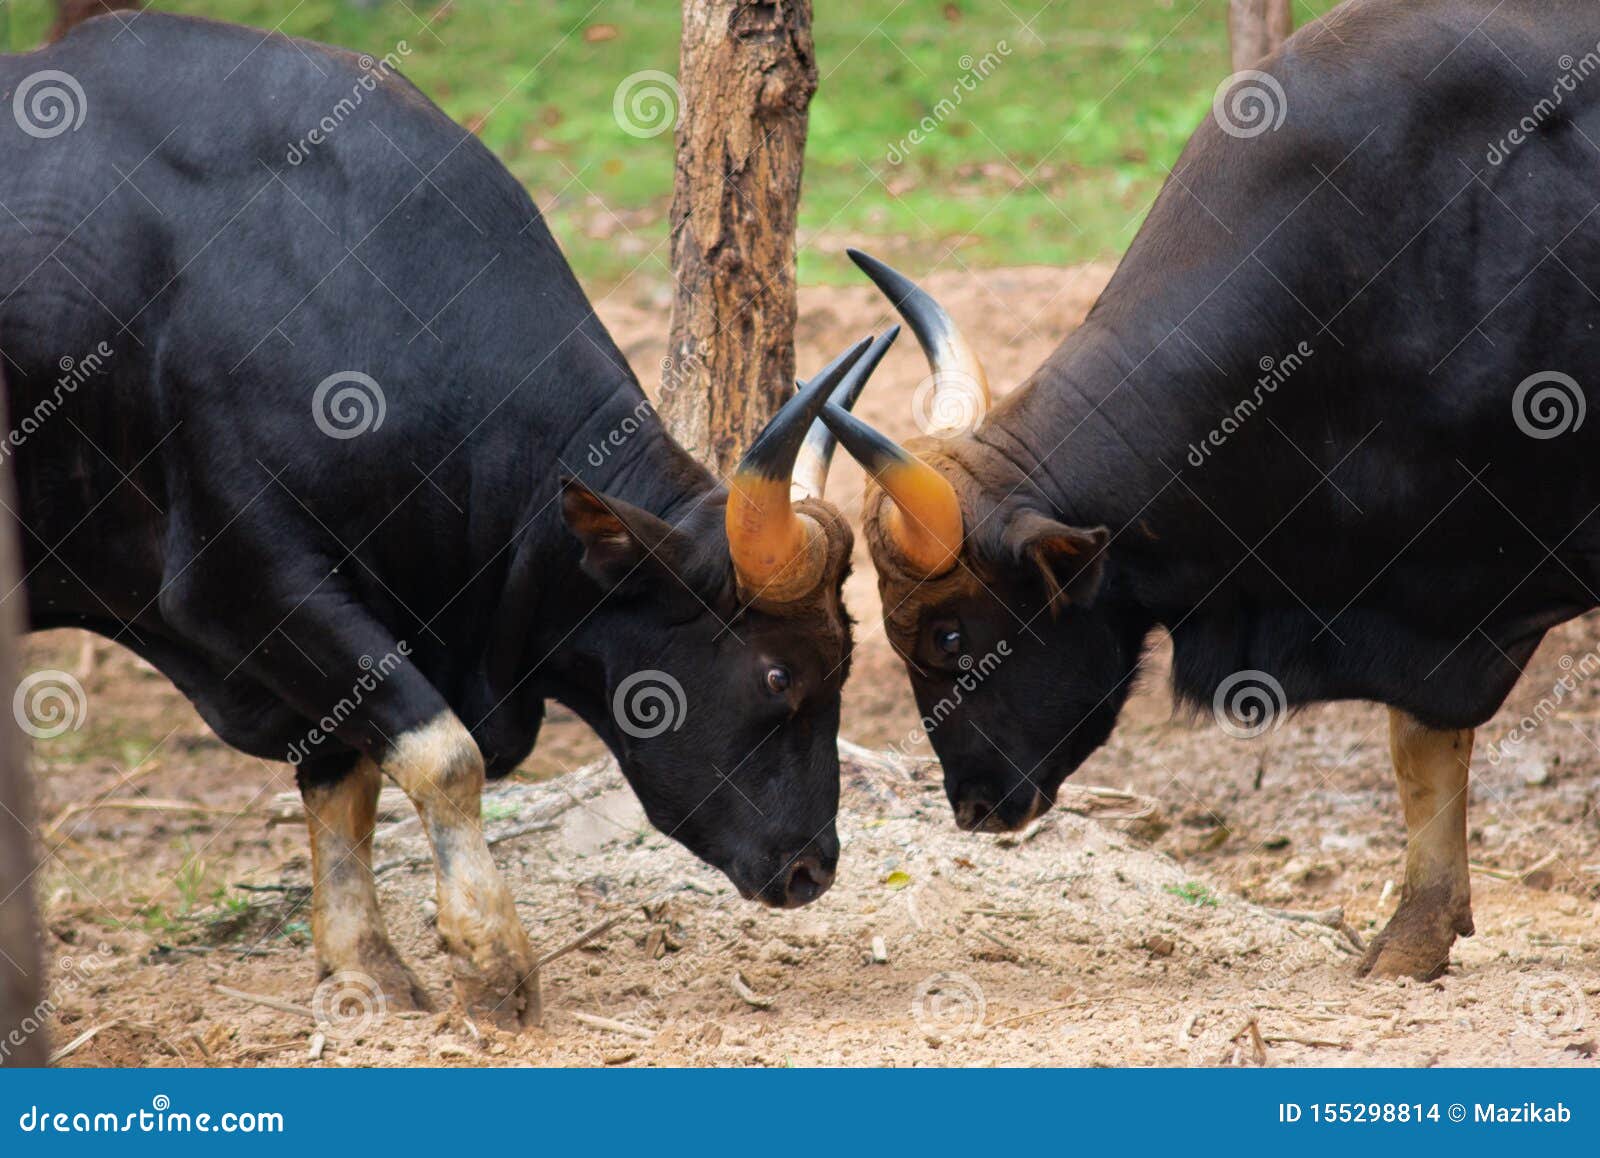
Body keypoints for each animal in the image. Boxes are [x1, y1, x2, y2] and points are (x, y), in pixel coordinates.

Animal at [0, 11, 892, 1025]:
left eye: (844, 662)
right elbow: (442, 755)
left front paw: (365, 966)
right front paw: (493, 960)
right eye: (778, 673)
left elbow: (343, 776)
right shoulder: (239, 583)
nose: (813, 865)